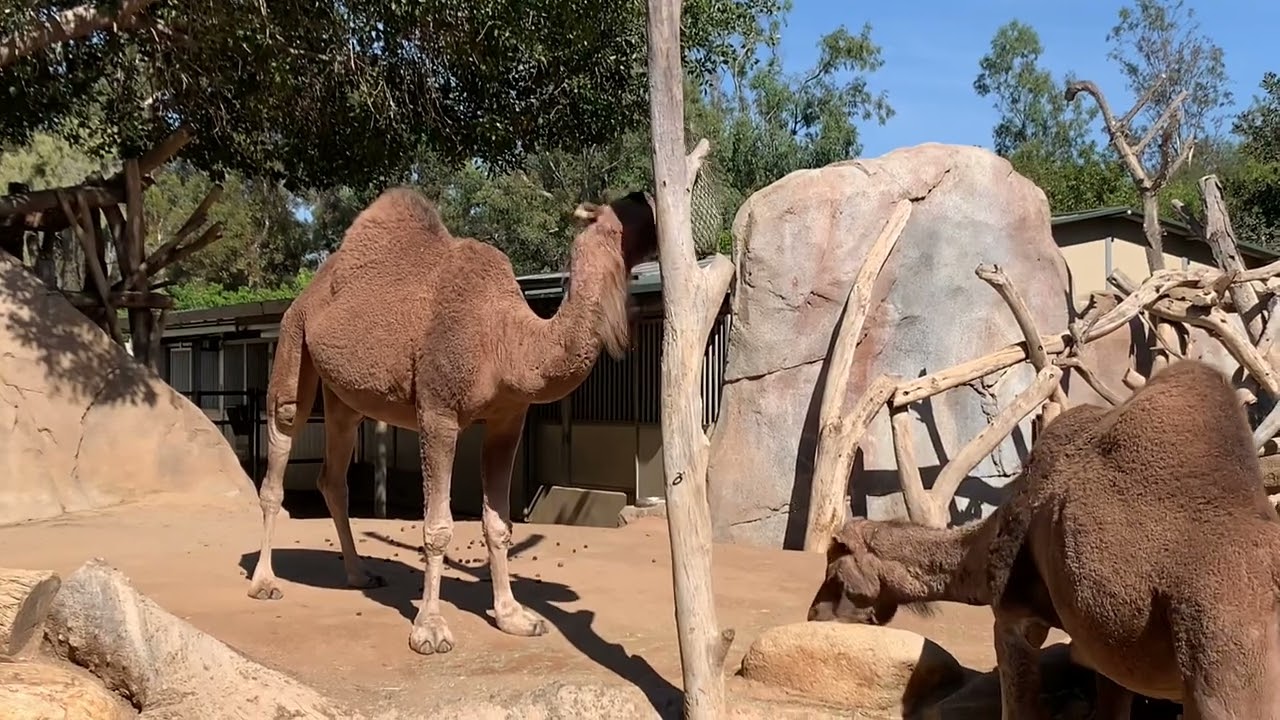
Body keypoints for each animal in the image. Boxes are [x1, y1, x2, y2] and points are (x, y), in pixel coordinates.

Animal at [245, 186, 658, 656]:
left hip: (343, 395)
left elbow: (498, 524)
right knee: (282, 435)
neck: (506, 340)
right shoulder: (437, 411)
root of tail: (310, 290)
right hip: (293, 340)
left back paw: (358, 575)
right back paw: (264, 582)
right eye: (625, 216)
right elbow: (438, 526)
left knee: (333, 475)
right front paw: (430, 629)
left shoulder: (508, 420)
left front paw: (514, 616)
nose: (649, 201)